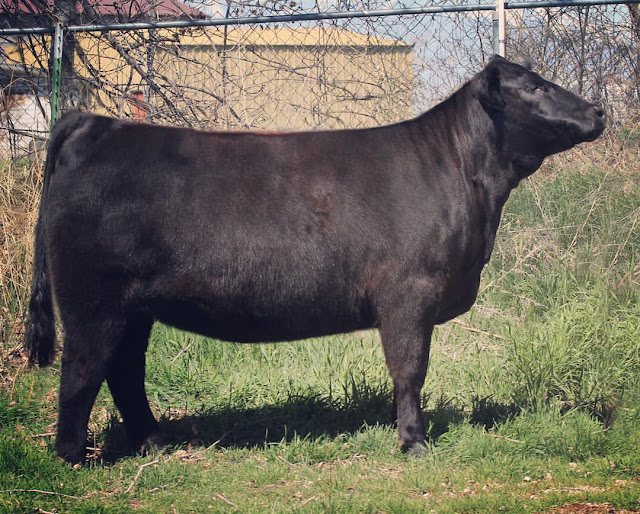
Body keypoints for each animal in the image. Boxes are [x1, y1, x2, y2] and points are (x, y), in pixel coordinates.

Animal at [25, 56, 605, 464]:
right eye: (535, 86)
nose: (599, 110)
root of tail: (95, 124)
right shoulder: (410, 292)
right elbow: (410, 370)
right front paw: (414, 442)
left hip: (135, 307)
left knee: (124, 369)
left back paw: (154, 442)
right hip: (92, 300)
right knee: (83, 369)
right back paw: (73, 458)